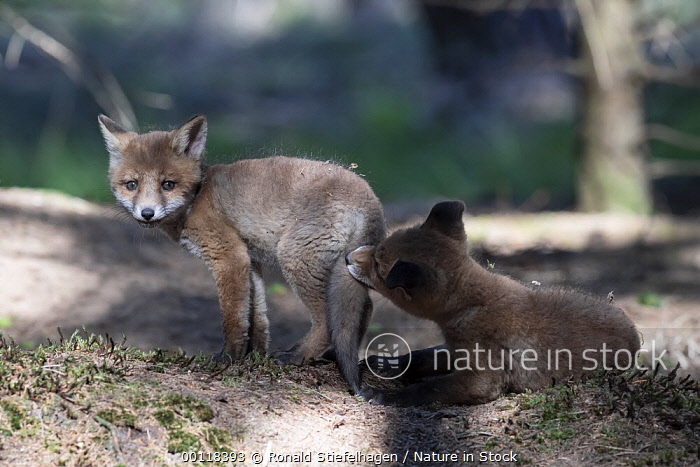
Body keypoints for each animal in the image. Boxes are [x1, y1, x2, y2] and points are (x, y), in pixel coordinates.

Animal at [98, 114, 386, 394]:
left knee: (328, 319)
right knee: (364, 307)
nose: (147, 213)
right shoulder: (251, 260)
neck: (196, 199)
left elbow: (234, 317)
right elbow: (257, 317)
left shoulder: (229, 256)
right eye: (131, 185)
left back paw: (298, 355)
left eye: (168, 185)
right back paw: (334, 356)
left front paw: (229, 358)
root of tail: (370, 197)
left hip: (296, 258)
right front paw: (254, 356)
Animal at [346, 201, 640, 405]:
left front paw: (381, 395)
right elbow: (420, 357)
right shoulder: (455, 350)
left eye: (378, 266)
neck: (473, 304)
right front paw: (385, 364)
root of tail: (636, 341)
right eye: (379, 247)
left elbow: (426, 388)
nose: (348, 256)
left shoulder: (480, 379)